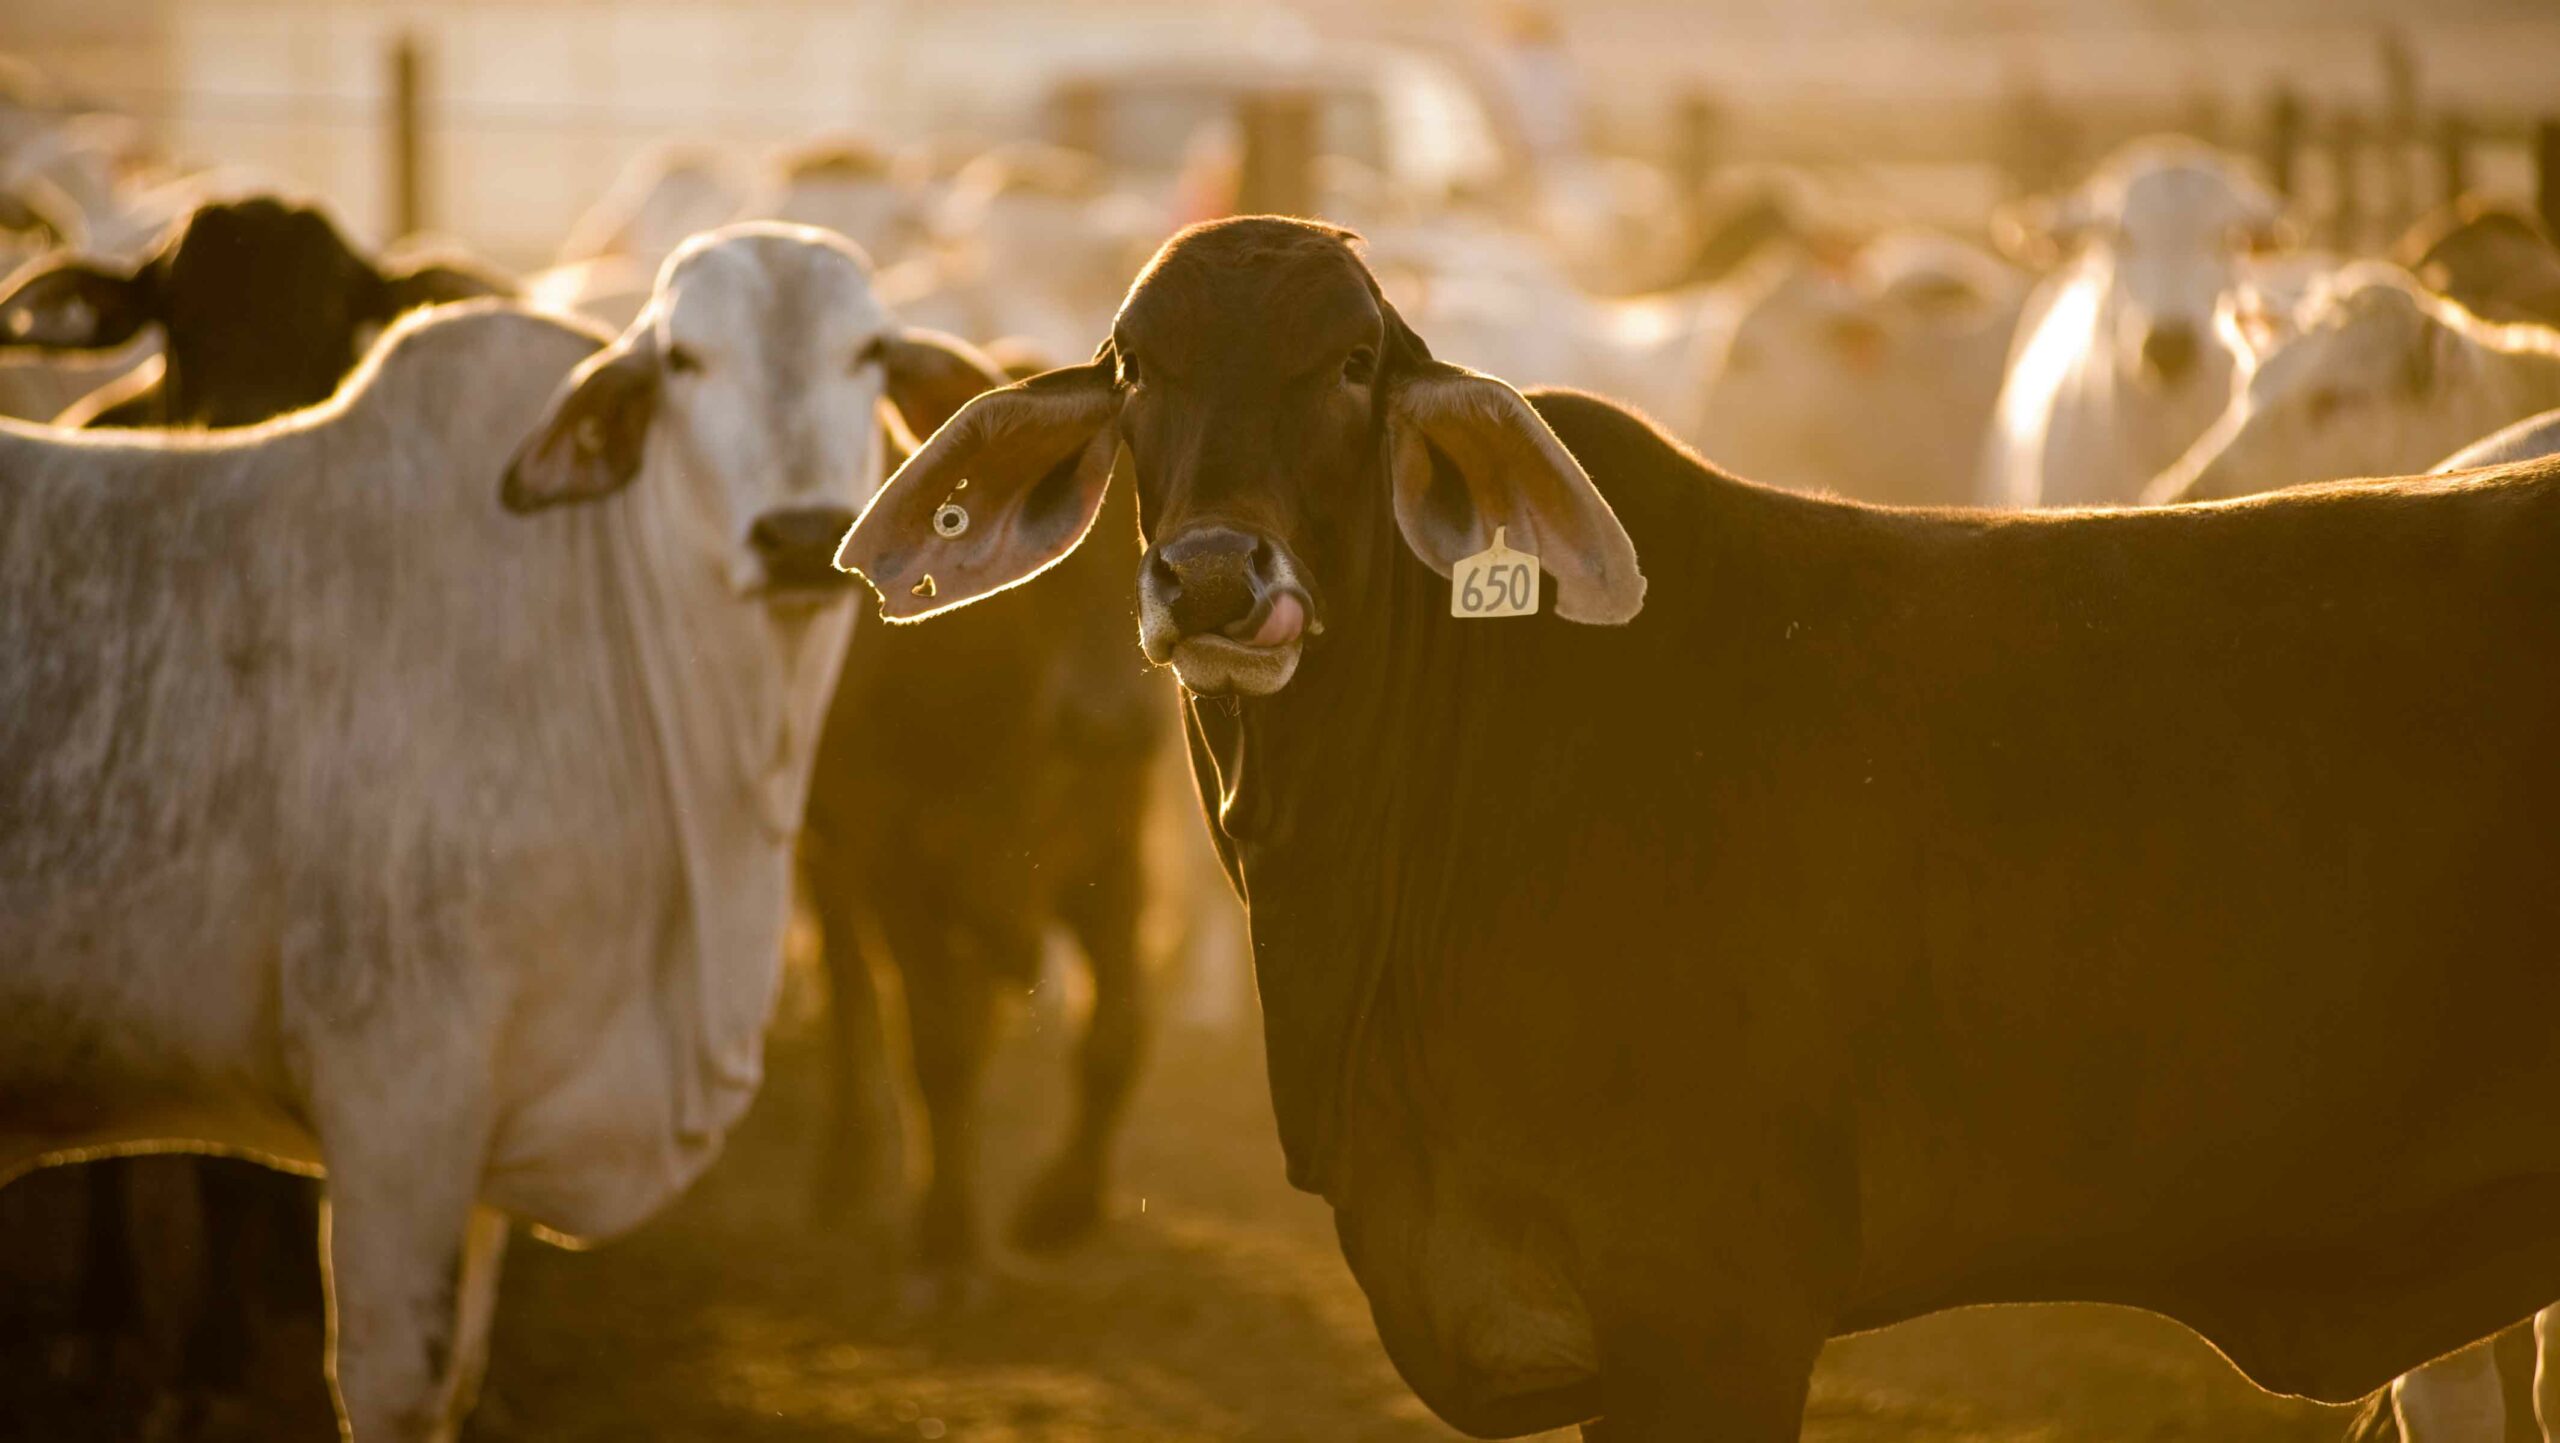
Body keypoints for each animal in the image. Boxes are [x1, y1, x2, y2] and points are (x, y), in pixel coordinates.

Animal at [0, 224, 985, 1441]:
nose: (801, 538)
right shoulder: (397, 1112)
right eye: (684, 361)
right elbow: (397, 1377)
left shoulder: (473, 1171)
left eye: (869, 353)